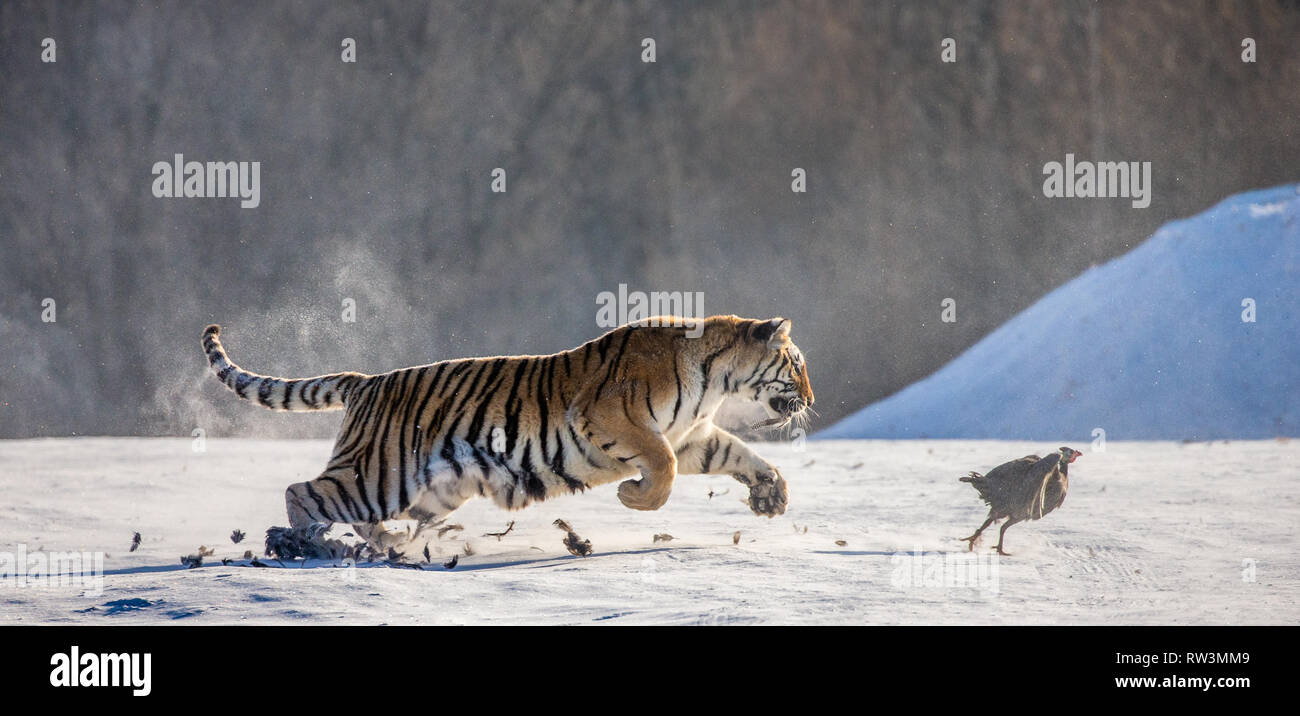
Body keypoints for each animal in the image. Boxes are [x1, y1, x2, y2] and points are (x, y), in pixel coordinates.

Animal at [200, 314, 814, 554]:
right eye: (797, 365)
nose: (811, 400)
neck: (716, 379)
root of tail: (367, 381)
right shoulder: (613, 418)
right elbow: (659, 466)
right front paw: (631, 496)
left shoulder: (692, 436)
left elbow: (740, 453)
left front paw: (773, 496)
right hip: (378, 474)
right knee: (302, 491)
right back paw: (306, 545)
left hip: (430, 488)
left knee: (372, 518)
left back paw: (393, 546)